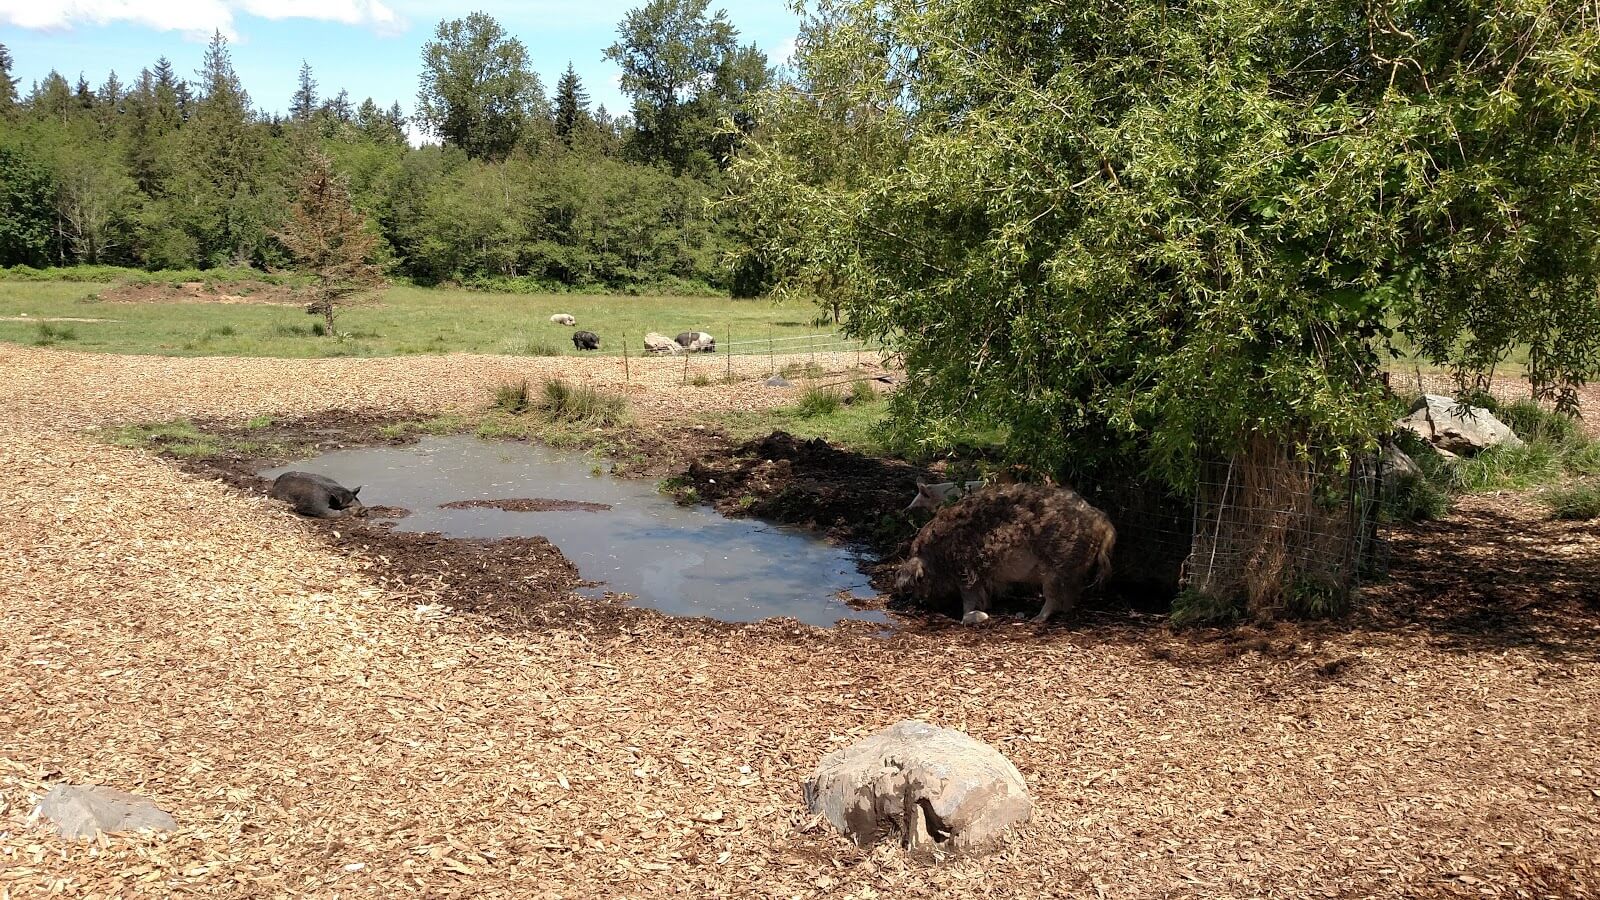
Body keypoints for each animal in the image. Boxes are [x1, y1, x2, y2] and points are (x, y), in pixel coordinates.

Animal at [895, 484, 1116, 623]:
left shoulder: (966, 569)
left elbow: (969, 599)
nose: (918, 602)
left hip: (1058, 567)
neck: (935, 556)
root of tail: (1102, 521)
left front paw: (975, 617)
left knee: (1053, 597)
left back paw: (1036, 620)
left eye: (918, 582)